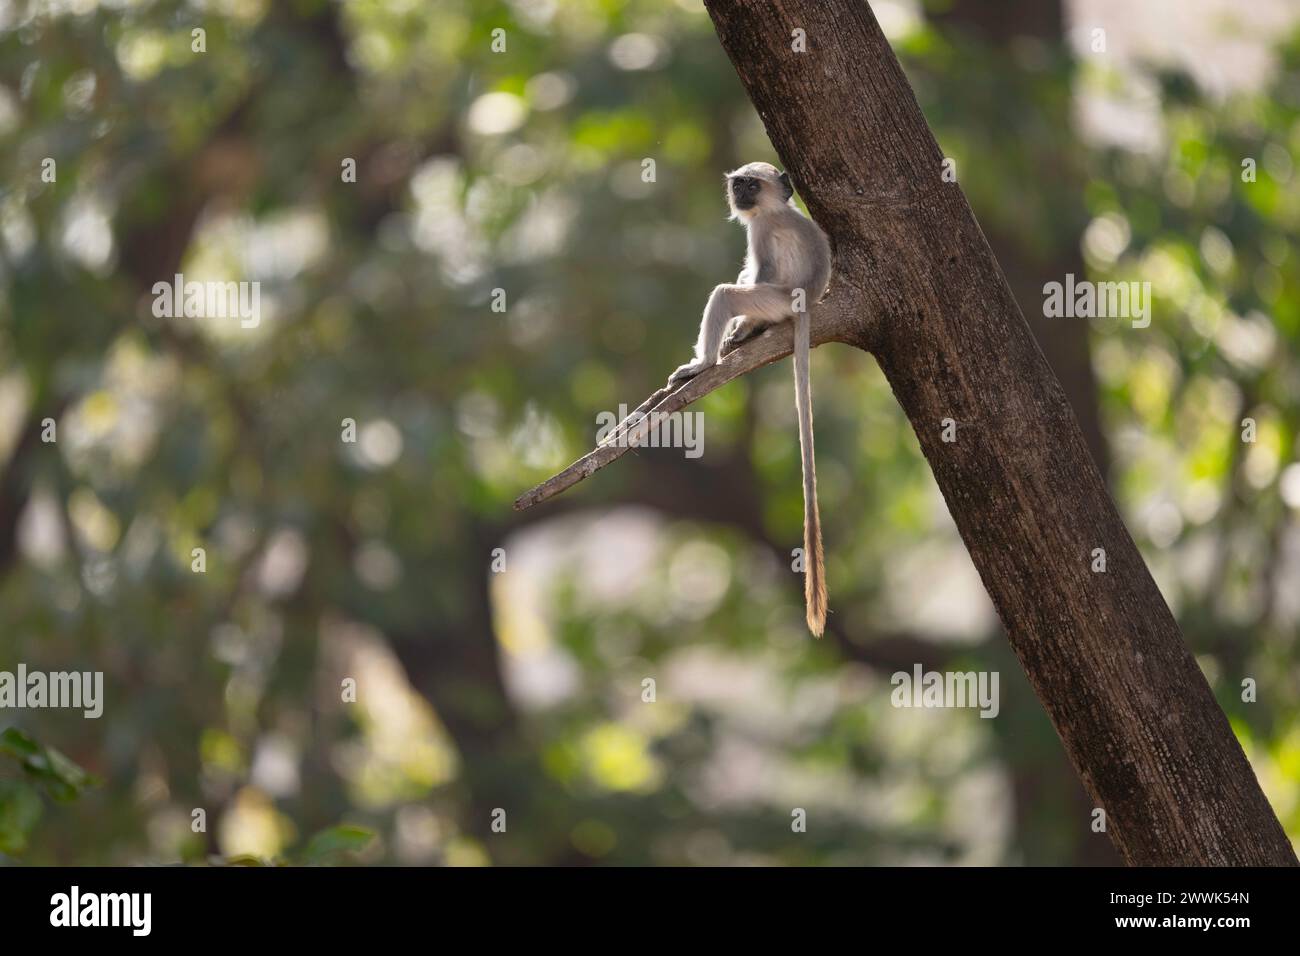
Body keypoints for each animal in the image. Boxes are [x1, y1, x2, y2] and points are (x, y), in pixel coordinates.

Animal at [667, 162, 832, 636]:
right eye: (737, 183)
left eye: (751, 186)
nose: (739, 194)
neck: (774, 208)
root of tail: (806, 305)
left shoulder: (762, 232)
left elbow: (758, 273)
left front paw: (735, 332)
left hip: (775, 302)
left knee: (729, 293)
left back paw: (707, 359)